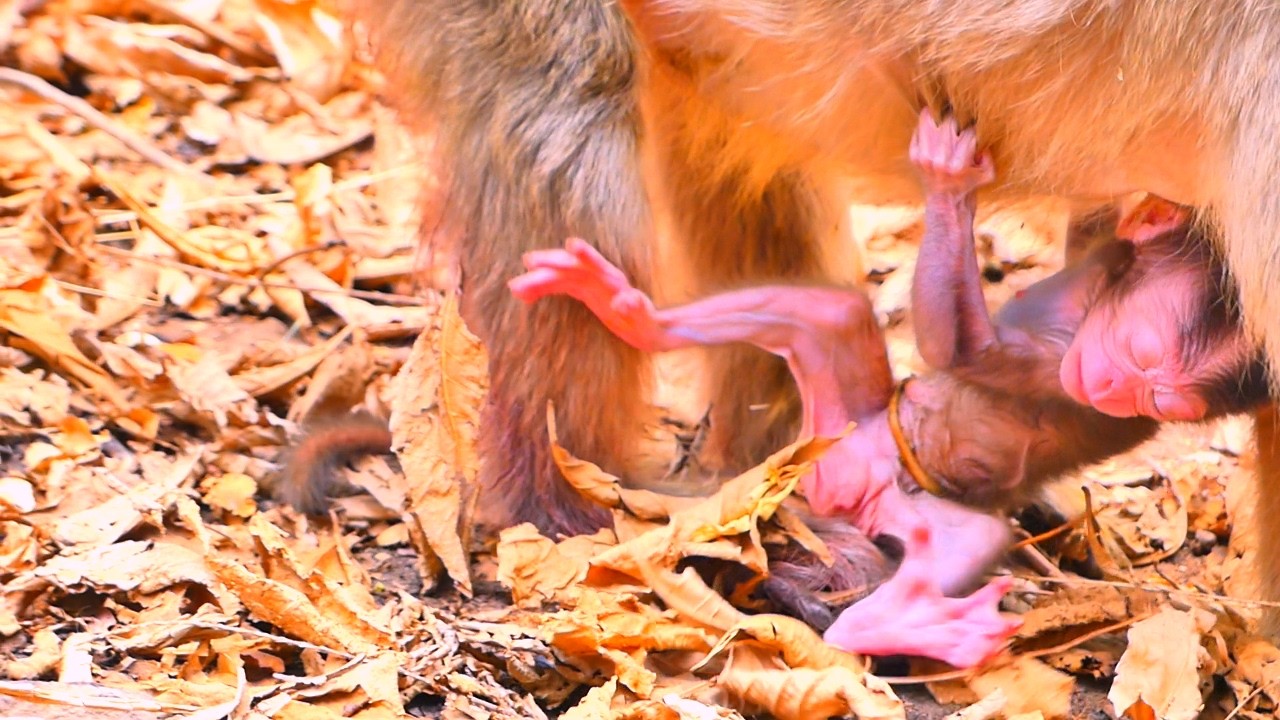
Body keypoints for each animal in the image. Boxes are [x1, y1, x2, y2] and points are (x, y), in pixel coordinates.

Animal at [507, 113, 1268, 665]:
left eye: (1162, 401)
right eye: (1140, 355)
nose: (1111, 388)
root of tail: (833, 488)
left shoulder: (1057, 360)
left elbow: (966, 349)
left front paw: (948, 185)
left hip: (893, 504)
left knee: (967, 537)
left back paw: (883, 628)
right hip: (837, 420)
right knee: (830, 312)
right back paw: (631, 315)